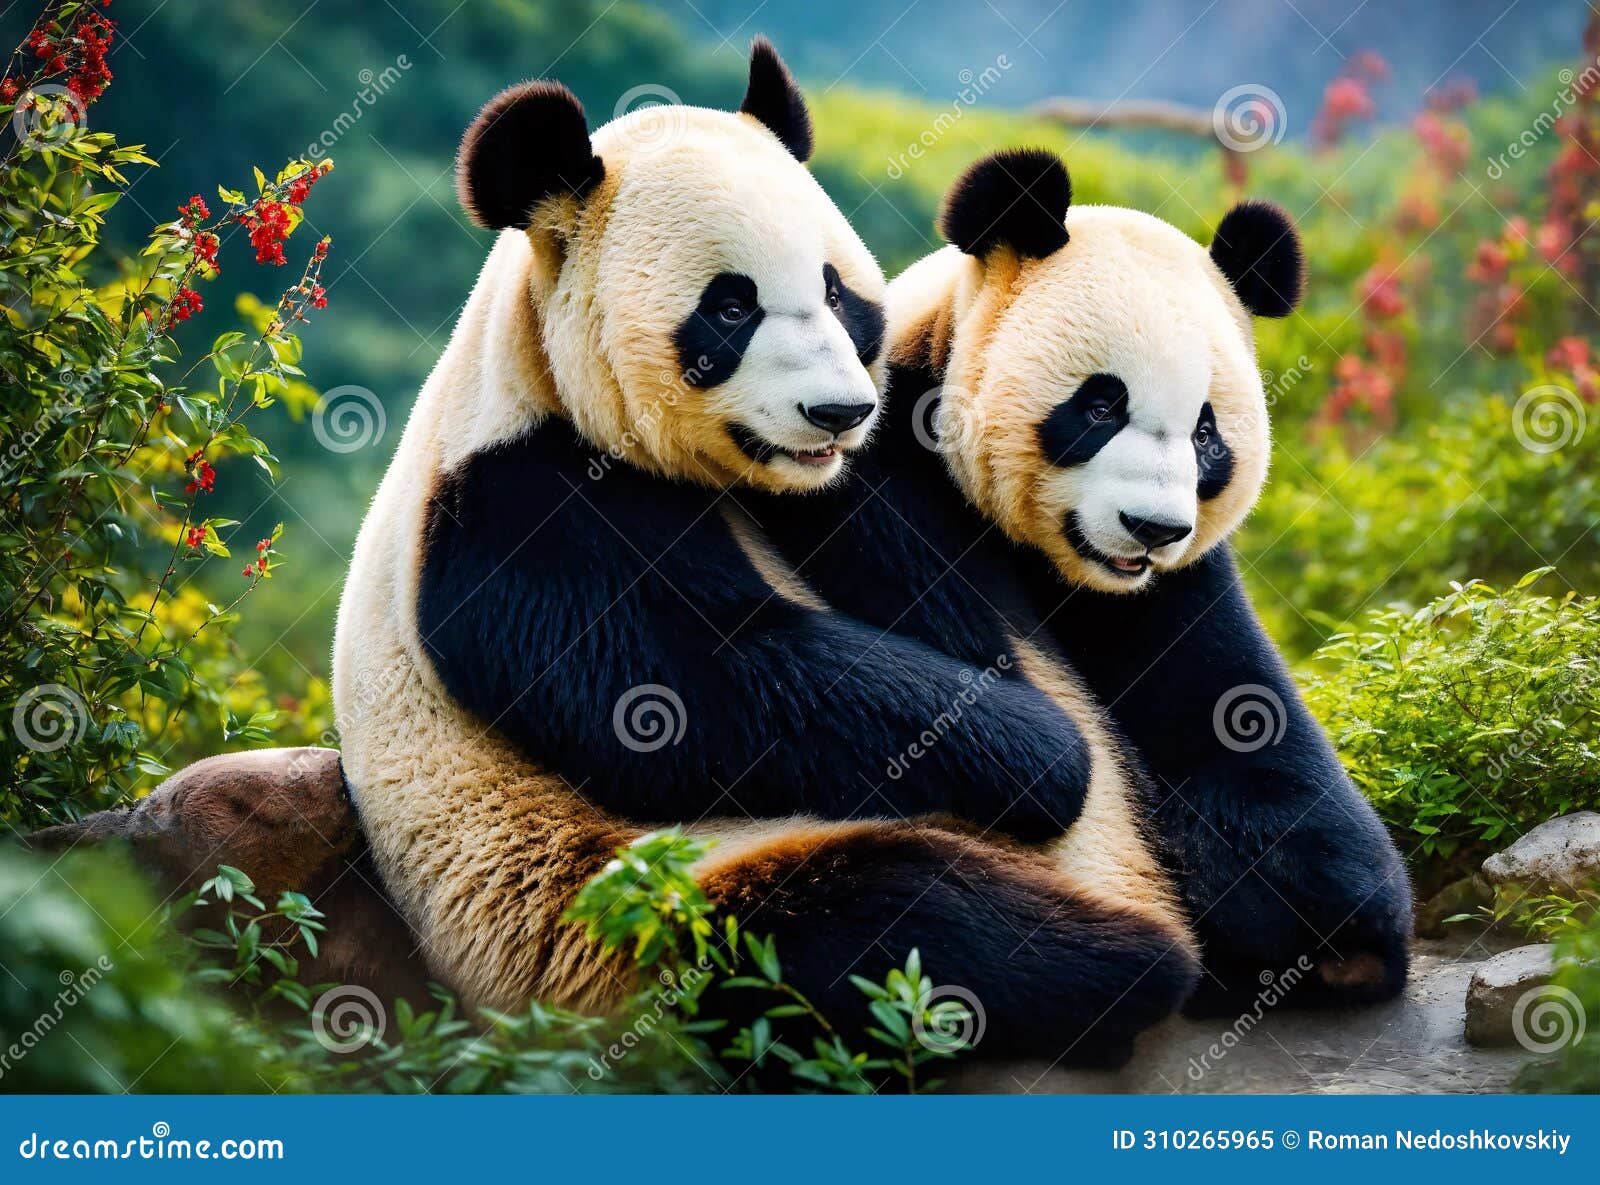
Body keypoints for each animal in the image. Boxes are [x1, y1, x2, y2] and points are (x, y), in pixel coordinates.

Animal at [332, 42, 1195, 1064]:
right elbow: (688, 686)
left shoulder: (839, 494)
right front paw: (1047, 755)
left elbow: (925, 584)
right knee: (883, 919)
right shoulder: (513, 509)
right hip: (627, 910)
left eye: (836, 292)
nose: (839, 411)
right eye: (731, 308)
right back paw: (1131, 962)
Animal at [876, 147, 1414, 1013]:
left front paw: (1333, 932)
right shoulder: (885, 473)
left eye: (1205, 434)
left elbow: (1239, 719)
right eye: (1100, 406)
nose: (1151, 528)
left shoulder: (1176, 588)